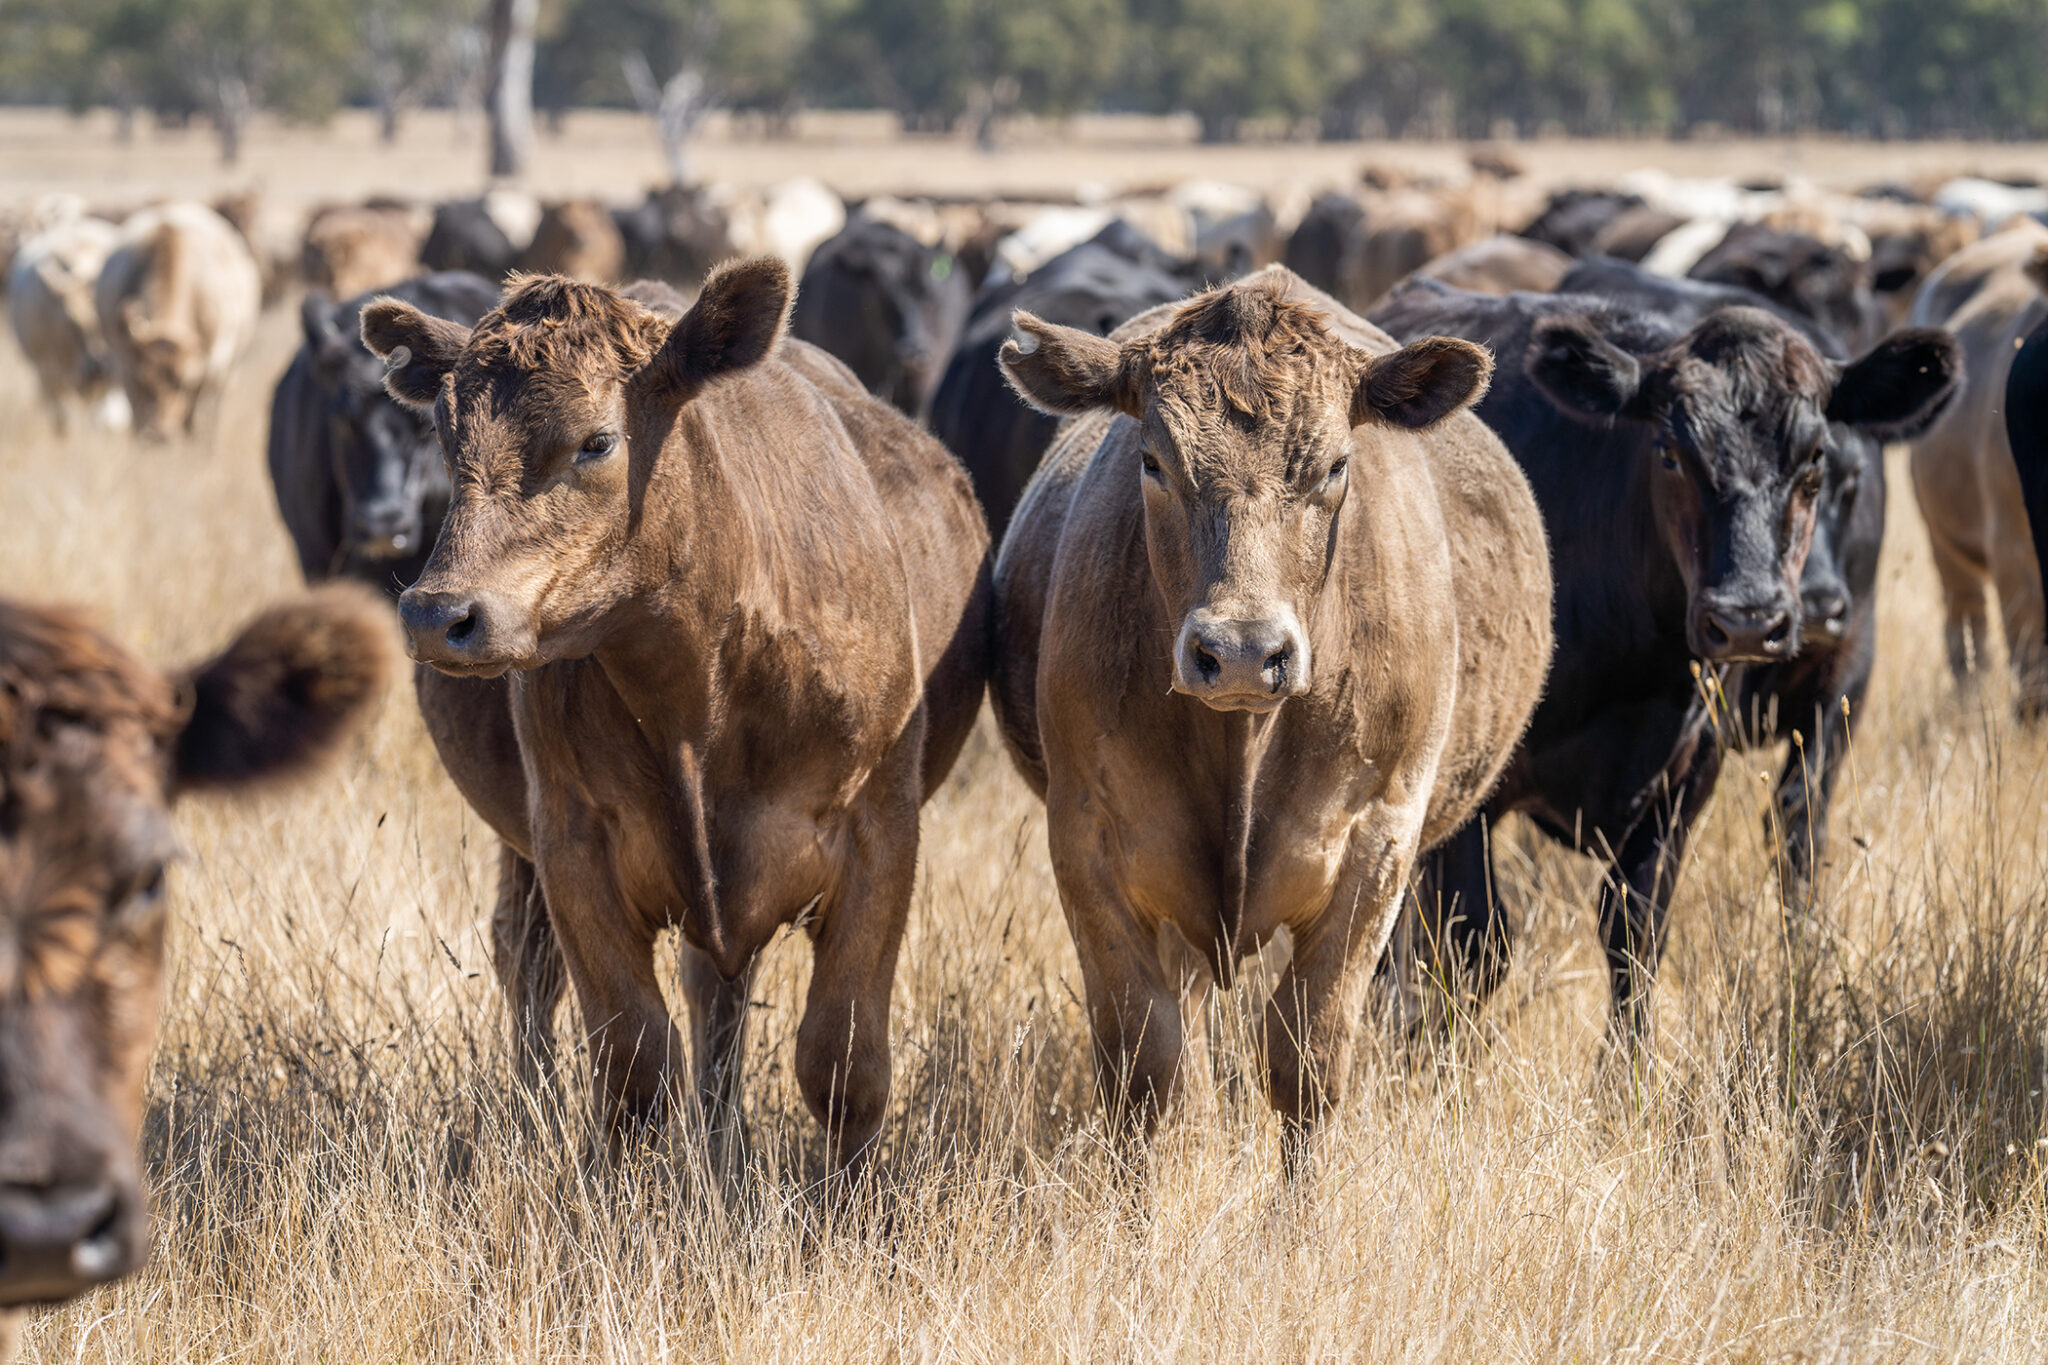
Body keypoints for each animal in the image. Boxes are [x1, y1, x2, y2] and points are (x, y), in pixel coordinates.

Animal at [95, 203, 262, 442]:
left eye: (182, 383)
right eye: (144, 381)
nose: (157, 435)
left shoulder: (210, 373)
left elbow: (196, 419)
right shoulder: (126, 369)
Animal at [360, 262, 991, 1171]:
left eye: (597, 441)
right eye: (447, 440)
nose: (439, 613)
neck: (700, 694)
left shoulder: (882, 830)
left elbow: (842, 1061)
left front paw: (846, 1200)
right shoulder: (572, 841)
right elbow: (633, 1063)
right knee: (530, 965)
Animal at [990, 266, 1554, 1167]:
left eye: (1335, 465)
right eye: (1153, 460)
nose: (1243, 651)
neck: (1242, 741)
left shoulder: (1377, 842)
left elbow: (1308, 1060)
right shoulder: (1087, 845)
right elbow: (1144, 1066)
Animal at [1369, 278, 1958, 1040]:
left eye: (1815, 461)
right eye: (1673, 452)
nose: (1747, 619)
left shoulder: (1688, 776)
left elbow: (1636, 937)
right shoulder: (1470, 778)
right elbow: (1473, 940)